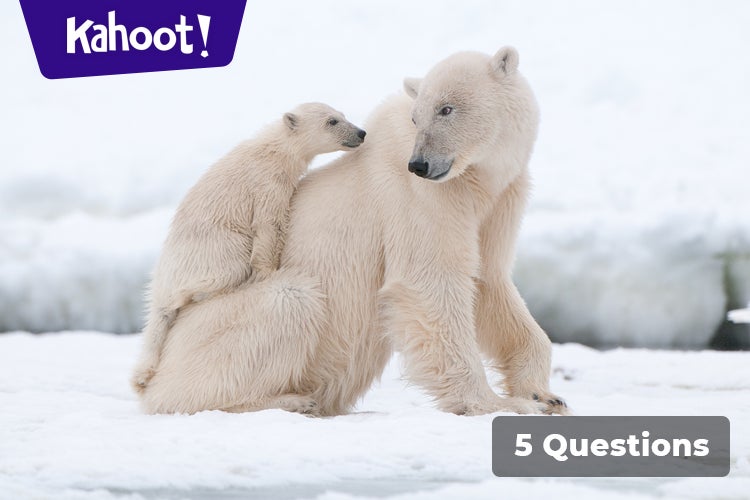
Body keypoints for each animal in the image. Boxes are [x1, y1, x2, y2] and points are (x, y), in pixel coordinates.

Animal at [130, 103, 366, 394]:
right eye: (332, 121)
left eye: (343, 115)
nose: (361, 132)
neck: (274, 150)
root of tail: (162, 280)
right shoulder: (267, 184)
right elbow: (268, 225)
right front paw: (268, 272)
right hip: (214, 249)